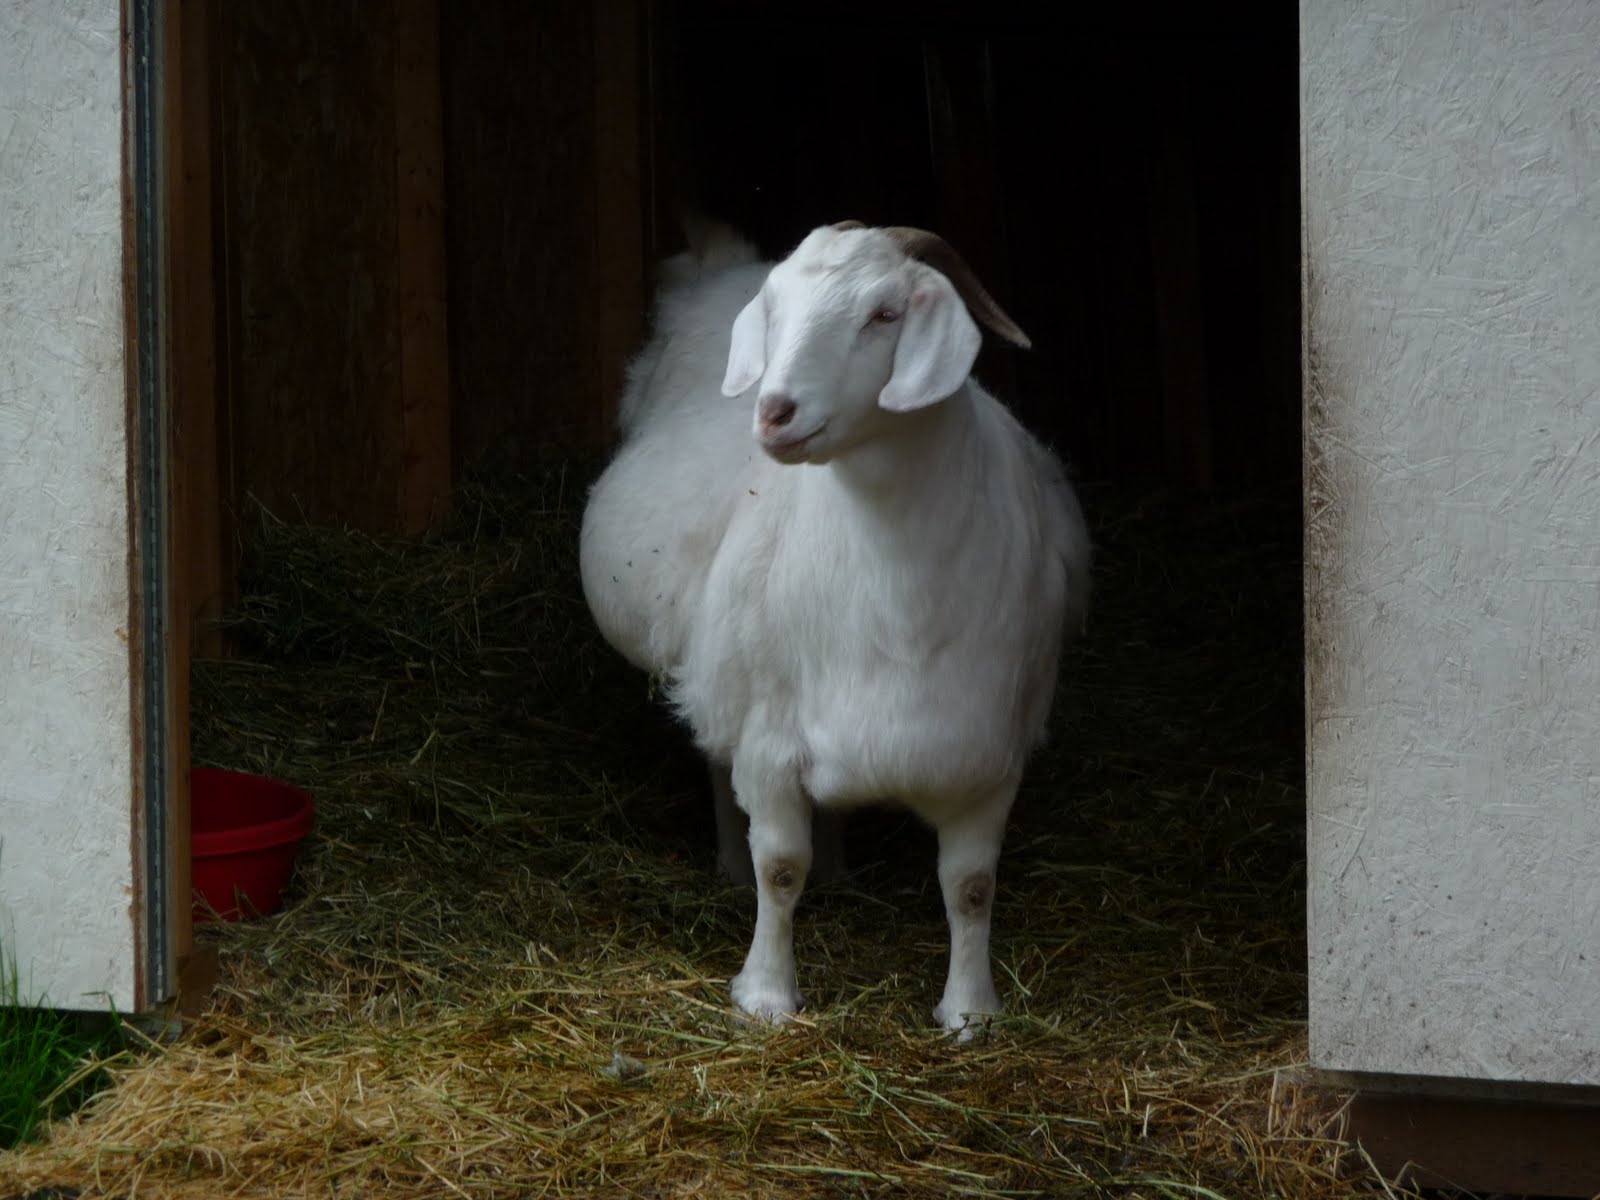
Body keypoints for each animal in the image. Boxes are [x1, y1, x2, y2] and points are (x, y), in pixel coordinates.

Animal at [578, 218, 1091, 1036]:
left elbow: (971, 885)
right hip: (725, 668)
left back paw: (842, 868)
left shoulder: (990, 753)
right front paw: (764, 998)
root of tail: (717, 267)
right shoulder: (769, 738)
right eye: (775, 308)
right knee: (718, 759)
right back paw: (731, 865)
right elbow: (780, 868)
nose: (773, 412)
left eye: (884, 314)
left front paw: (970, 1013)